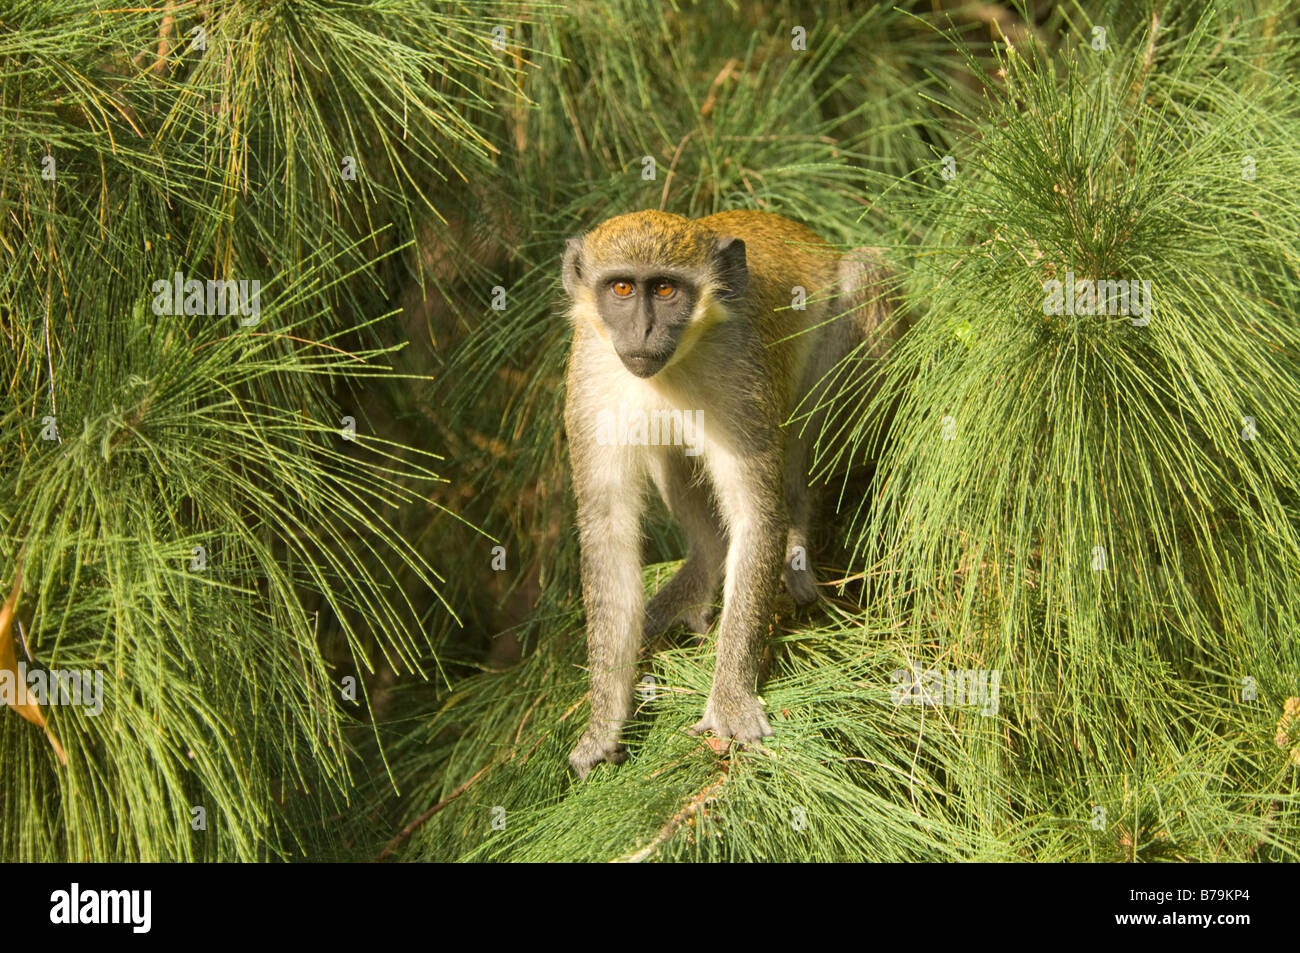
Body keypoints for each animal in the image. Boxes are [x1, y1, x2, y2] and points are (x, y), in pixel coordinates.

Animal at [561, 209, 898, 778]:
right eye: (622, 288)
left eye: (666, 289)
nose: (643, 330)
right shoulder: (590, 370)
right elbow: (607, 528)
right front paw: (603, 719)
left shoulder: (740, 367)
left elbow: (755, 513)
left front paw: (730, 698)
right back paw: (704, 566)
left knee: (862, 274)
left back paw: (798, 534)